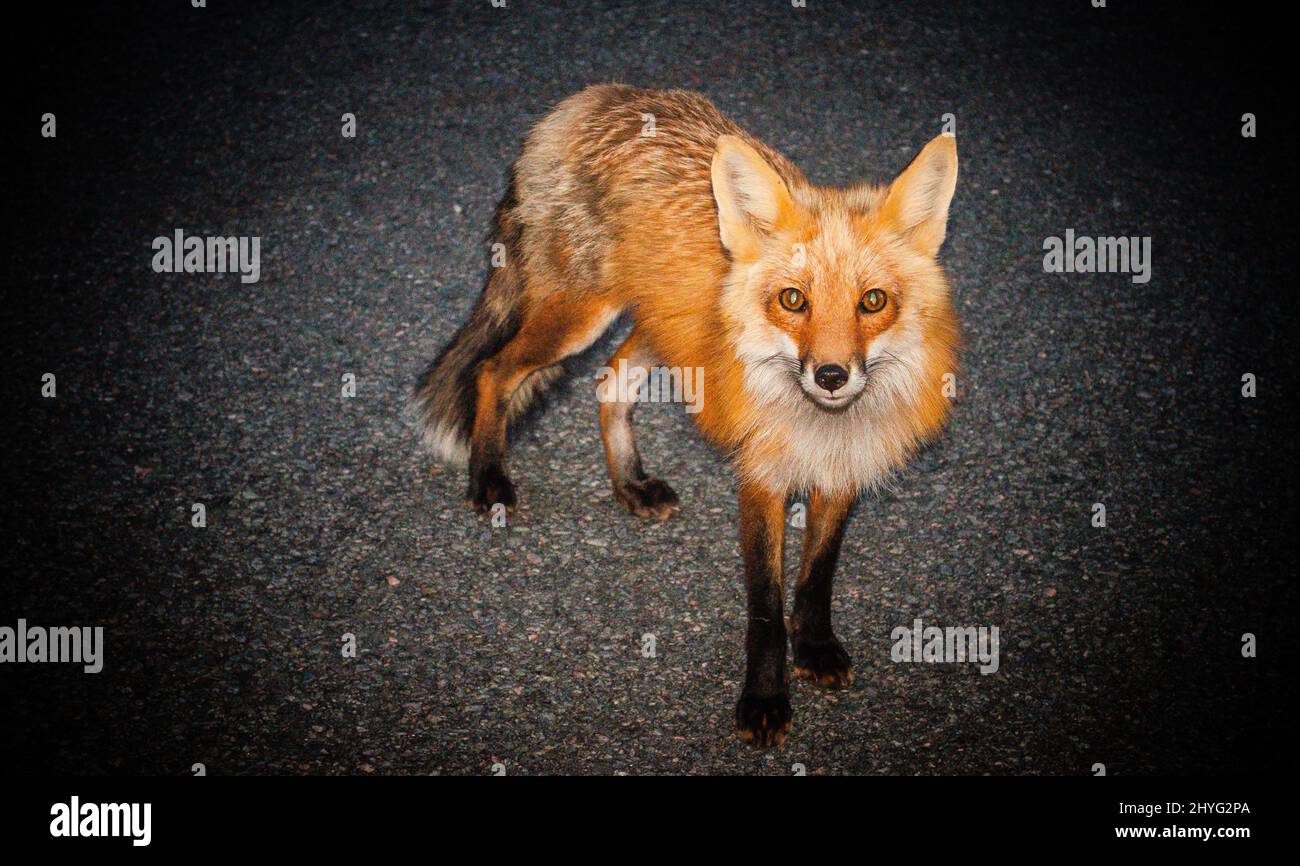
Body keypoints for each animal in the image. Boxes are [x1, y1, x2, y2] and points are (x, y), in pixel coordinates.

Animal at [411, 84, 959, 748]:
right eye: (793, 300)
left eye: (872, 301)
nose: (831, 376)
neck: (820, 426)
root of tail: (591, 98)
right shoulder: (761, 477)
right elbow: (766, 606)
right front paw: (765, 699)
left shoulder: (843, 468)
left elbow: (817, 575)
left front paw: (815, 646)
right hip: (579, 317)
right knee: (493, 371)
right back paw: (489, 477)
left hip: (659, 327)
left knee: (608, 383)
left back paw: (630, 484)